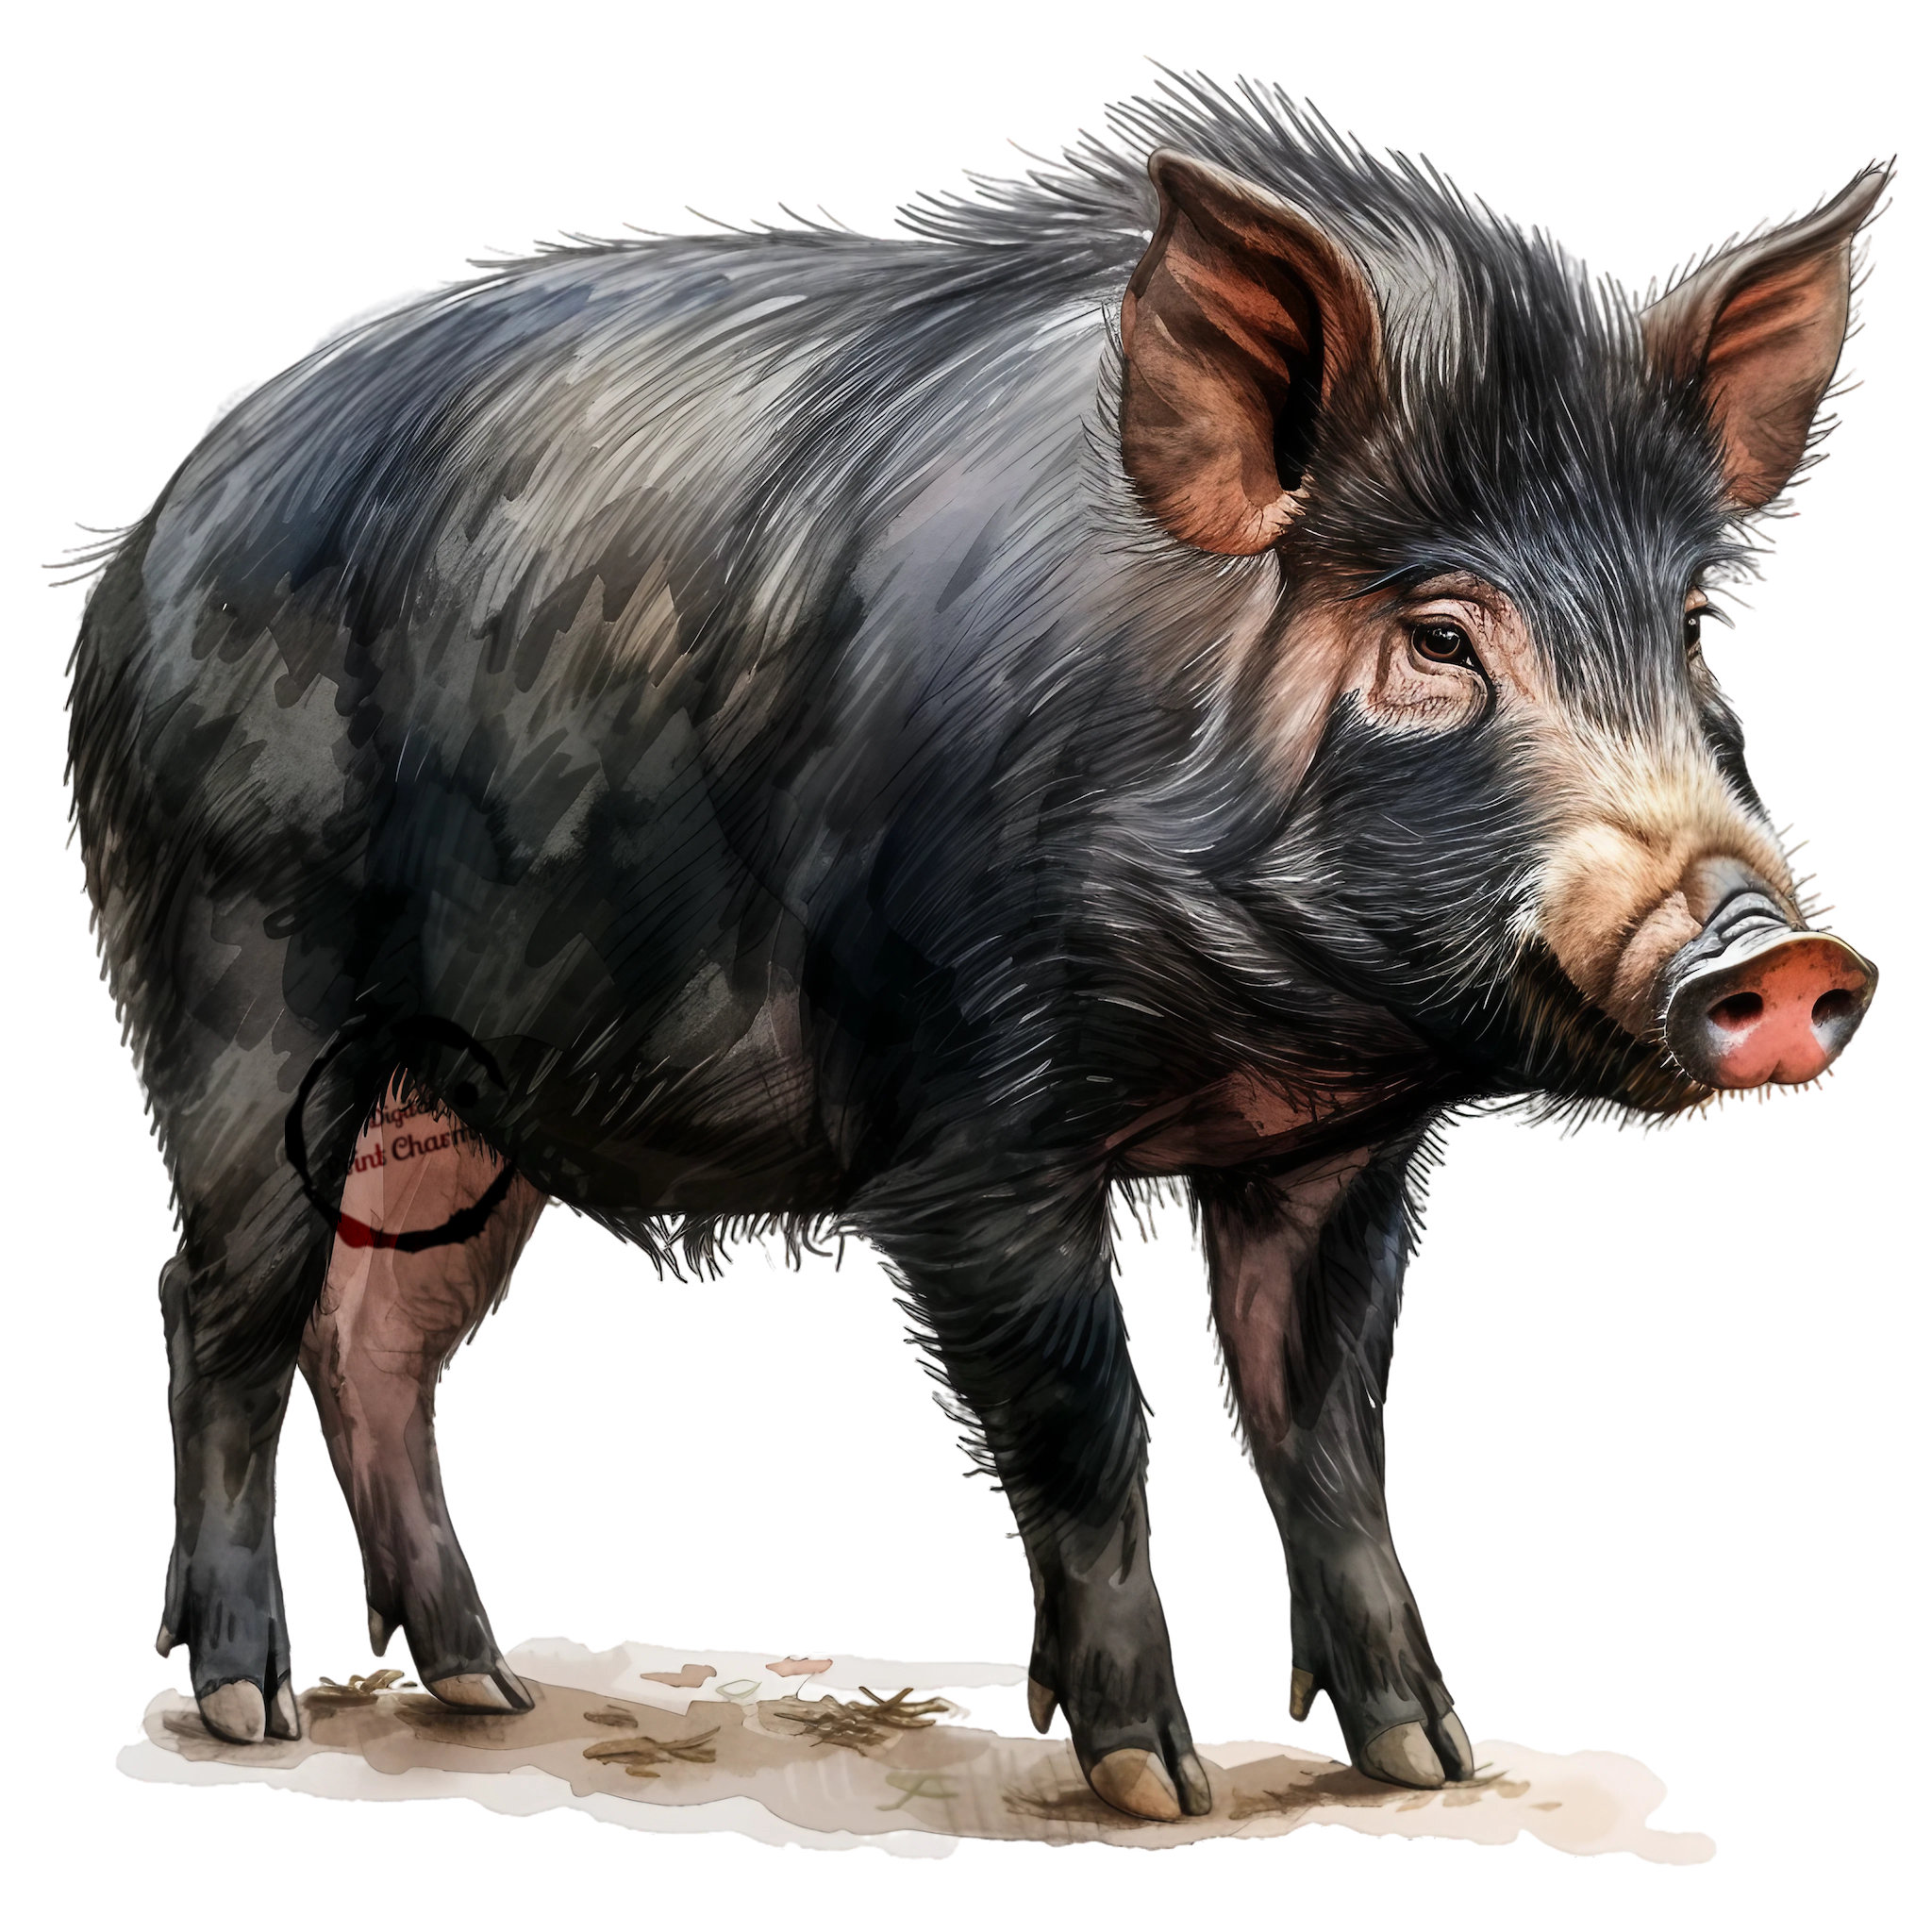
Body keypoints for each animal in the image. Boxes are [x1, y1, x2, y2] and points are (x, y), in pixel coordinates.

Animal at [68, 73, 1883, 1821]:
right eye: (1438, 636)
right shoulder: (964, 1132)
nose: (1779, 953)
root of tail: (141, 550)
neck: (1261, 1023)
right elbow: (1092, 1424)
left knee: (373, 1339)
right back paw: (248, 1705)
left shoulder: (1331, 1156)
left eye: (1689, 628)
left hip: (459, 1103)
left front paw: (1427, 1758)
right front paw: (1154, 1786)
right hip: (237, 989)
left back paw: (481, 1686)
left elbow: (1326, 1432)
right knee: (218, 1307)